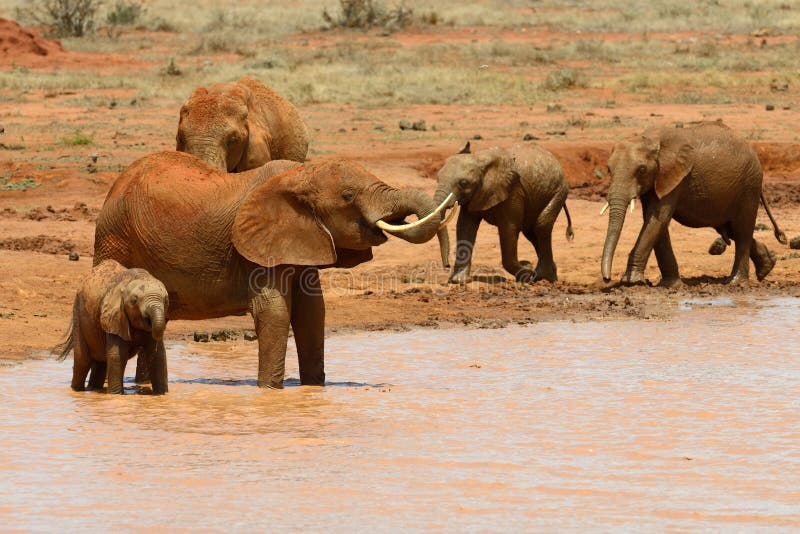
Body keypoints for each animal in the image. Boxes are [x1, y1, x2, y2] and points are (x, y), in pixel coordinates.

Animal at [54, 260, 169, 394]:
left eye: (166, 301)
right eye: (134, 300)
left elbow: (157, 355)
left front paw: (161, 394)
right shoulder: (114, 317)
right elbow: (117, 356)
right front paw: (116, 396)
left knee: (101, 361)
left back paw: (94, 389)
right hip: (78, 312)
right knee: (82, 360)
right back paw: (77, 391)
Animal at [93, 152, 448, 389]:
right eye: (348, 196)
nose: (446, 264)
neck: (299, 176)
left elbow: (312, 312)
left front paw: (313, 389)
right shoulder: (258, 250)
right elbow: (274, 312)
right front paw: (270, 391)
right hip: (115, 238)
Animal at [434, 142, 573, 284]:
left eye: (463, 183)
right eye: (437, 178)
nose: (446, 265)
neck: (479, 159)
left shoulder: (513, 191)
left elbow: (509, 228)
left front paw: (526, 274)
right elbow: (465, 226)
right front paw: (458, 281)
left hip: (559, 191)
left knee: (541, 226)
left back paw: (540, 277)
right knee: (531, 232)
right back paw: (547, 277)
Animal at [601, 120, 787, 286]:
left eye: (641, 170)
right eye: (609, 169)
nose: (607, 279)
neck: (651, 139)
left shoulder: (675, 177)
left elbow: (657, 219)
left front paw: (631, 282)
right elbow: (654, 221)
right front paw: (671, 285)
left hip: (749, 184)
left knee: (742, 230)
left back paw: (735, 282)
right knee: (733, 229)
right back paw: (767, 266)